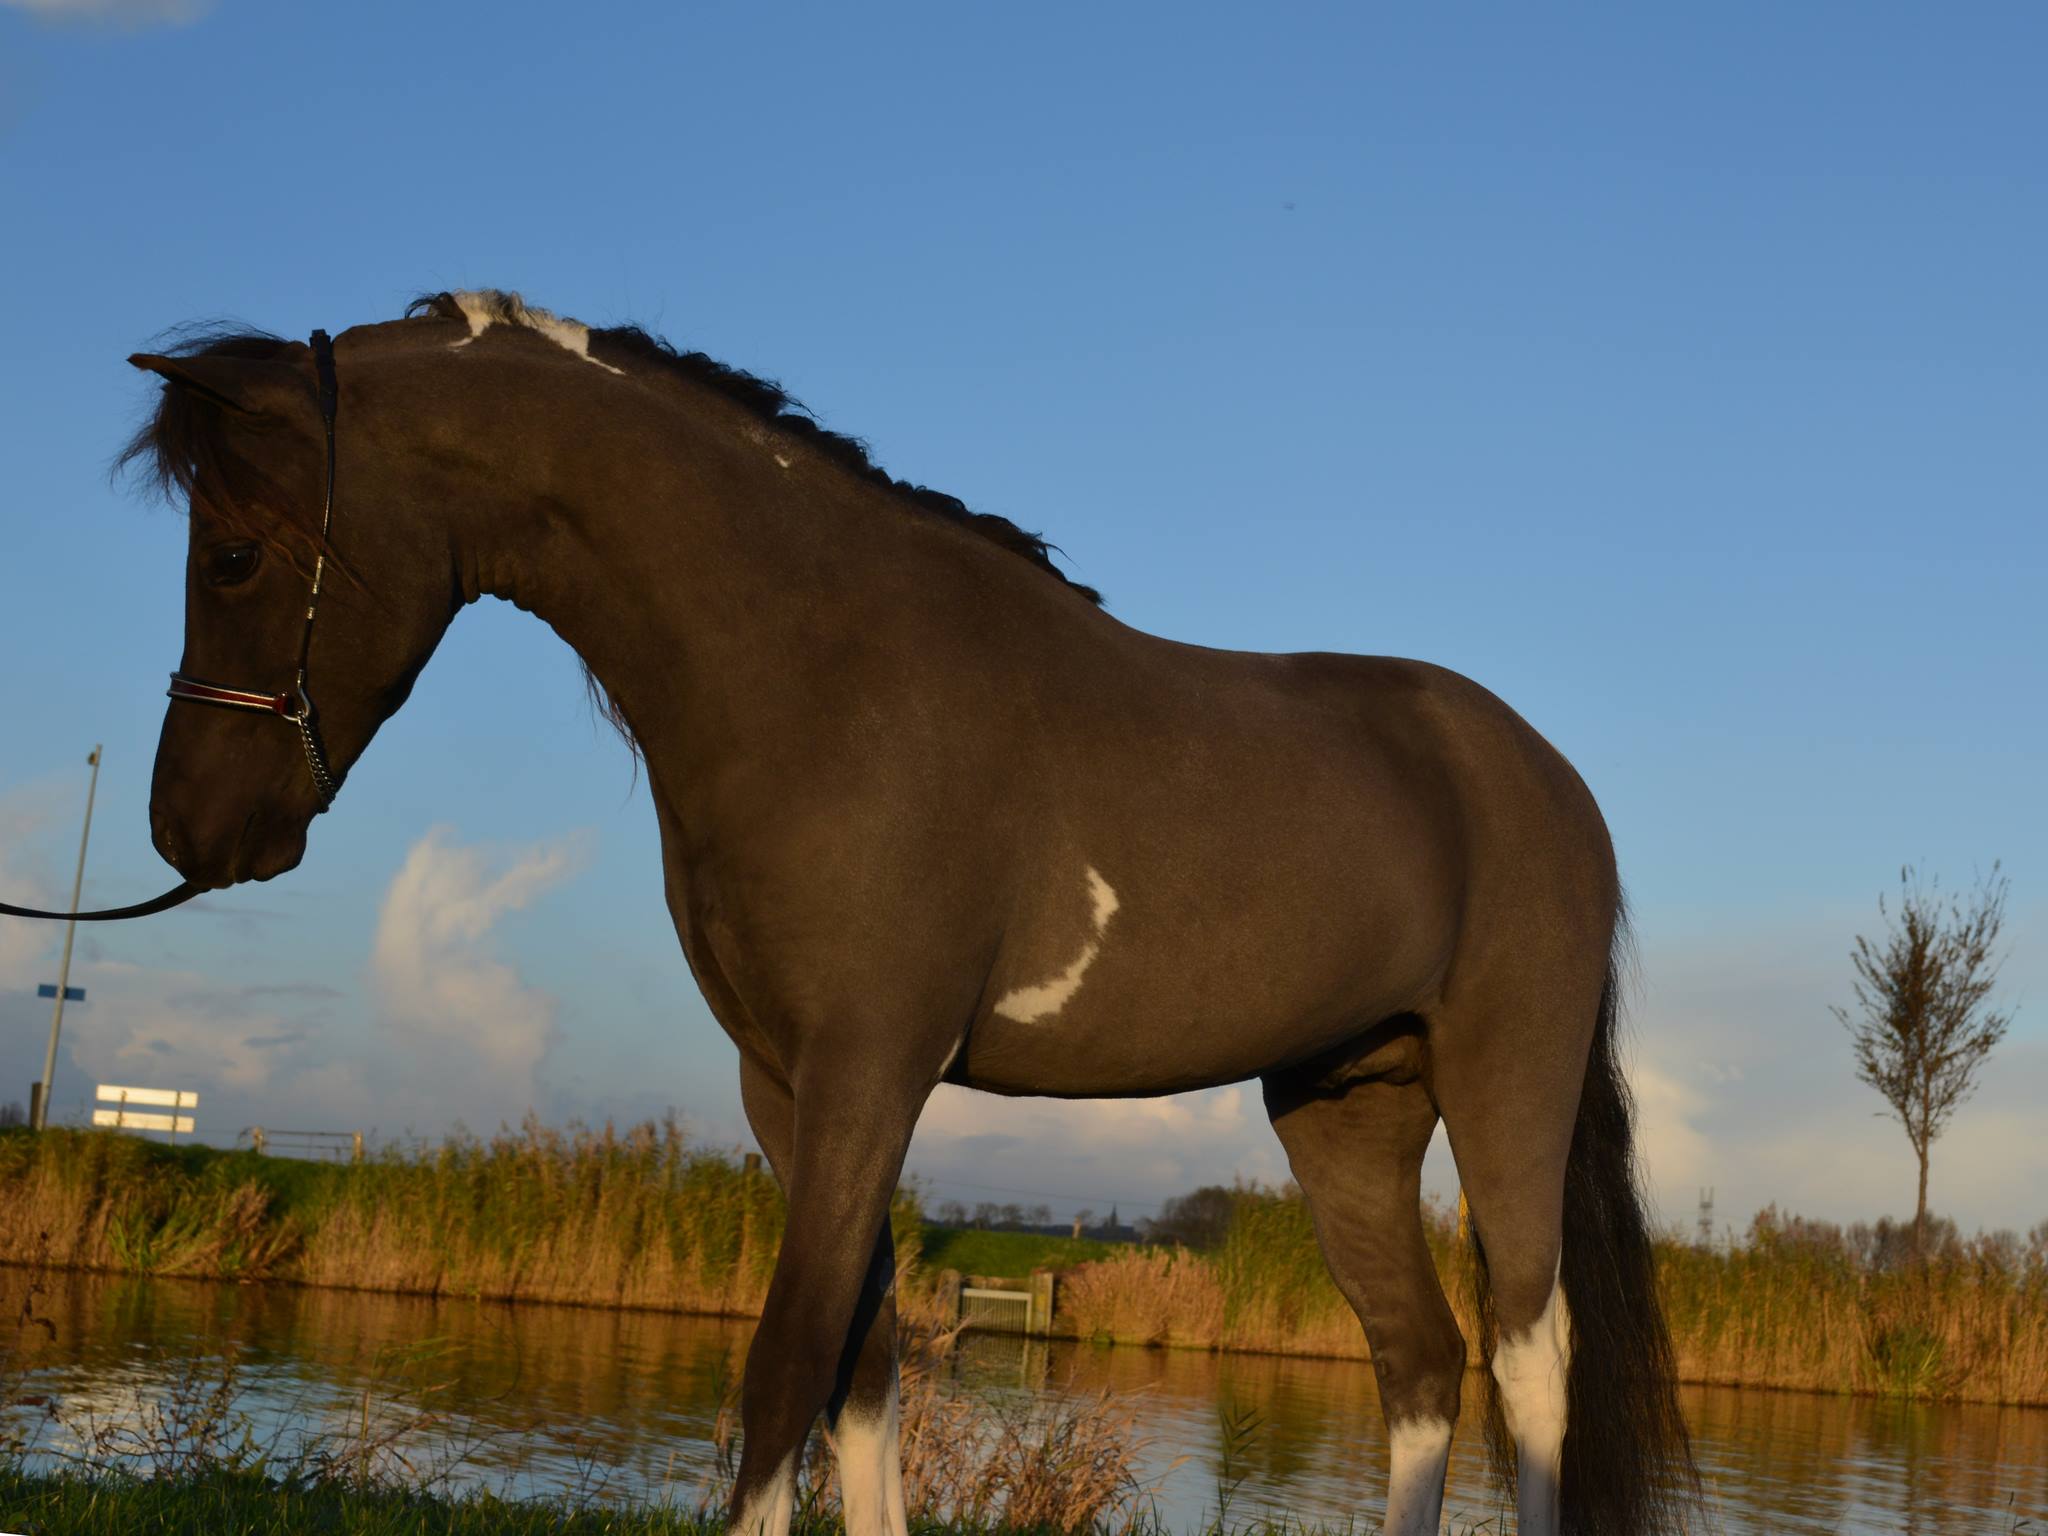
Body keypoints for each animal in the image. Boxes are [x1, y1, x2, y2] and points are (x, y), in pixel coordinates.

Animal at [121, 289, 1693, 1535]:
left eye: (236, 556)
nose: (187, 831)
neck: (824, 671)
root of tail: (1542, 777)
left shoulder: (870, 1072)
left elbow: (781, 1372)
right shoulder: (783, 1086)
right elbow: (861, 1375)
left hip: (1504, 1084)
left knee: (1530, 1360)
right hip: (1346, 1108)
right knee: (1418, 1363)